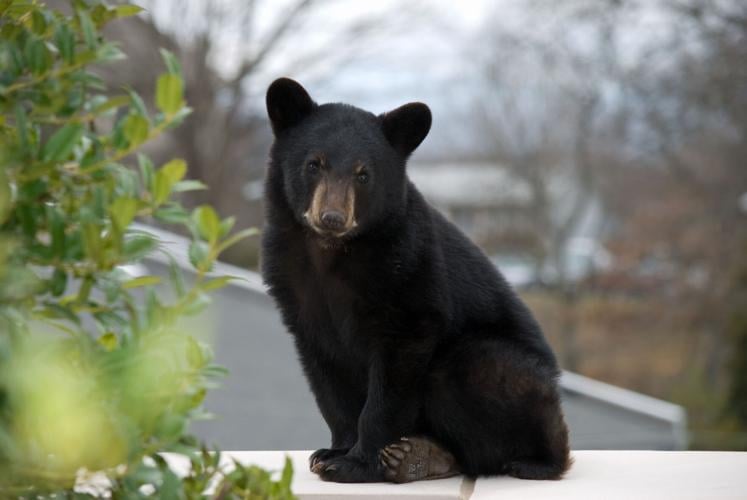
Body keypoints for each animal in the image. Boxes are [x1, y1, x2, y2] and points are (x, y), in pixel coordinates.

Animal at [261, 77, 571, 483]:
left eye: (363, 174)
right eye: (314, 164)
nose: (331, 217)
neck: (332, 252)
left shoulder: (408, 270)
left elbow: (395, 372)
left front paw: (354, 463)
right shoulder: (296, 291)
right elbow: (329, 380)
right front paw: (332, 451)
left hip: (495, 368)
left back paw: (533, 461)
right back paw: (417, 457)